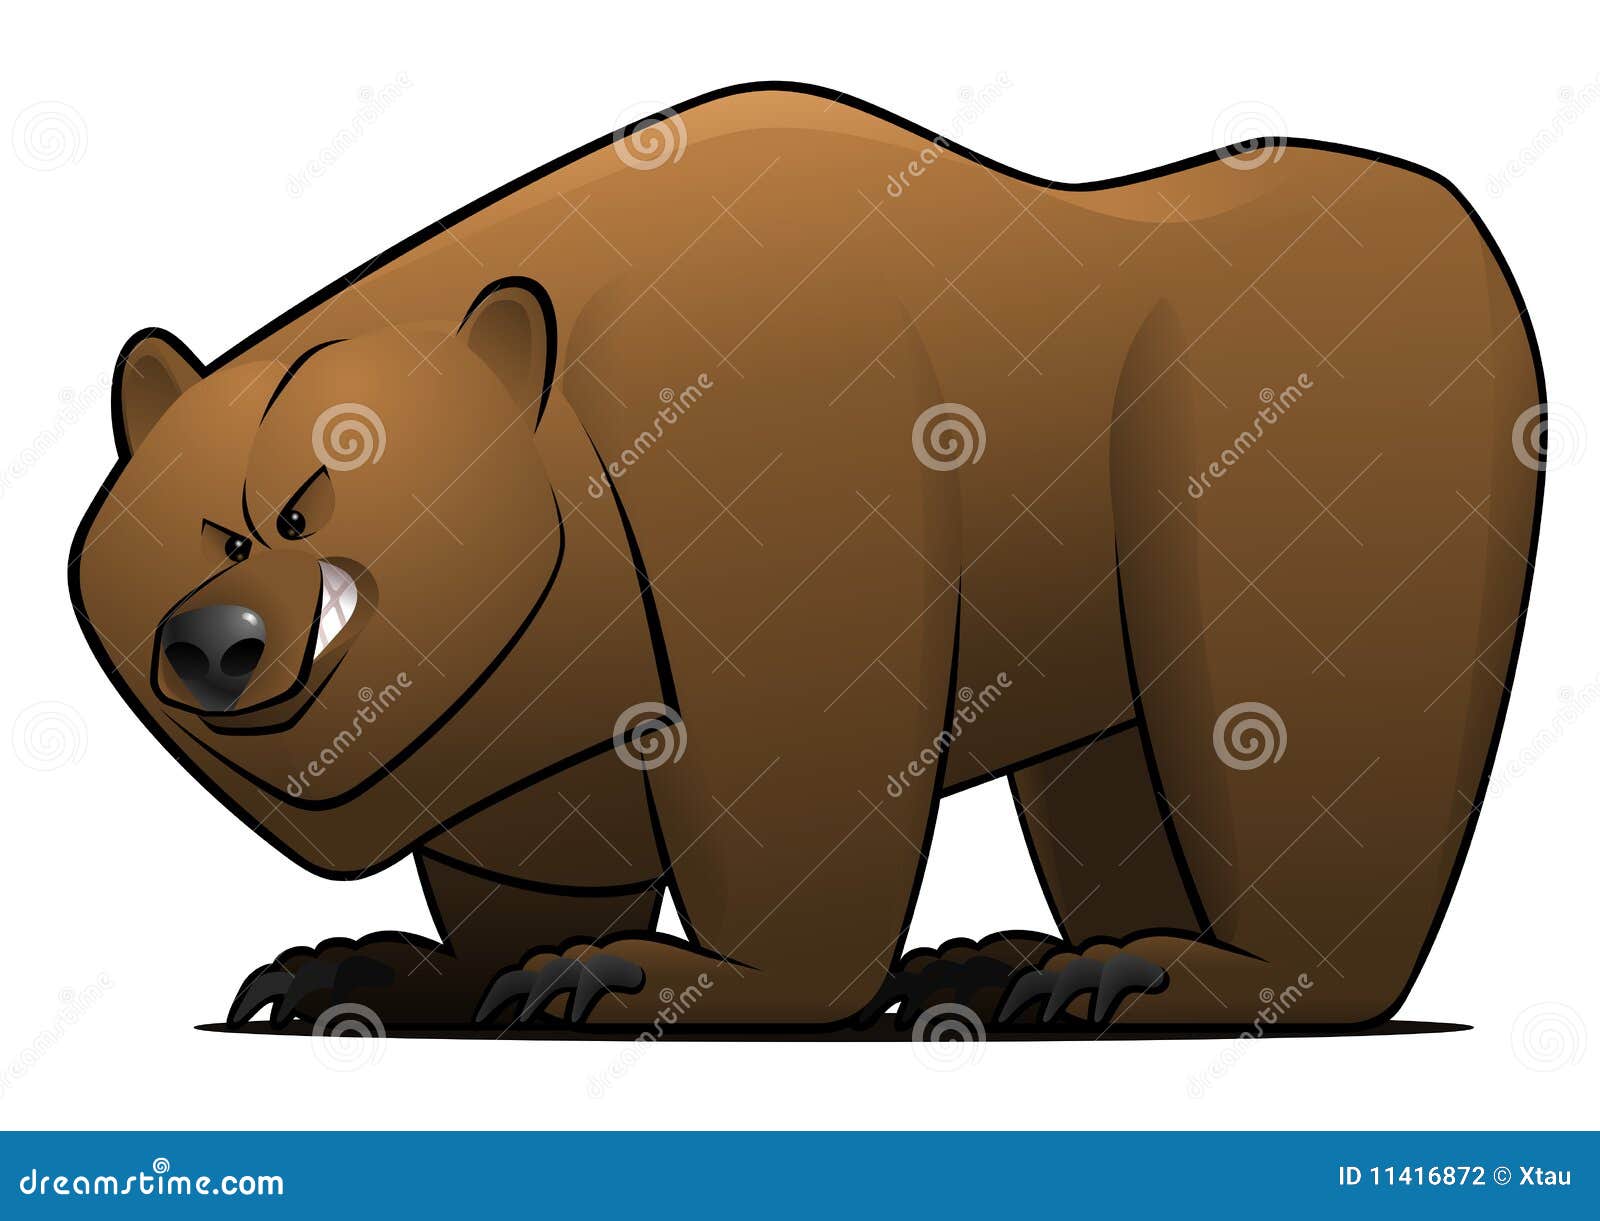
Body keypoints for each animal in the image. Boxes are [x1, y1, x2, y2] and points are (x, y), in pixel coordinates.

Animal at [69, 83, 1543, 1033]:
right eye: (206, 527)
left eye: (309, 507)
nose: (213, 641)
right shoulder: (540, 674)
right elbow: (536, 840)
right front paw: (370, 967)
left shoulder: (769, 448)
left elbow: (799, 763)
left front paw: (642, 976)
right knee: (1110, 766)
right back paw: (1008, 958)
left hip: (1276, 400)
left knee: (1281, 716)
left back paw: (1159, 974)